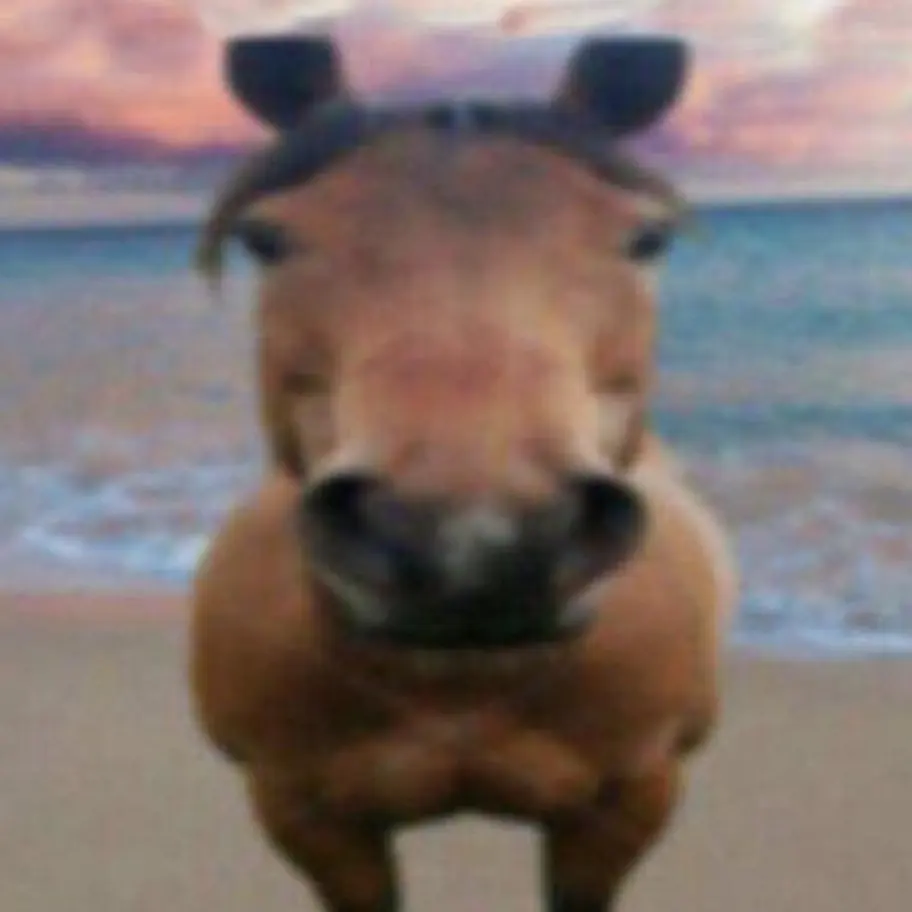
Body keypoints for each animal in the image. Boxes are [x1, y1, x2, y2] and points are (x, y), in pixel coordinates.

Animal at [189, 34, 737, 912]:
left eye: (647, 240)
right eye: (265, 238)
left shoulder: (628, 805)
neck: (459, 683)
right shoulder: (303, 814)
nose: (473, 543)